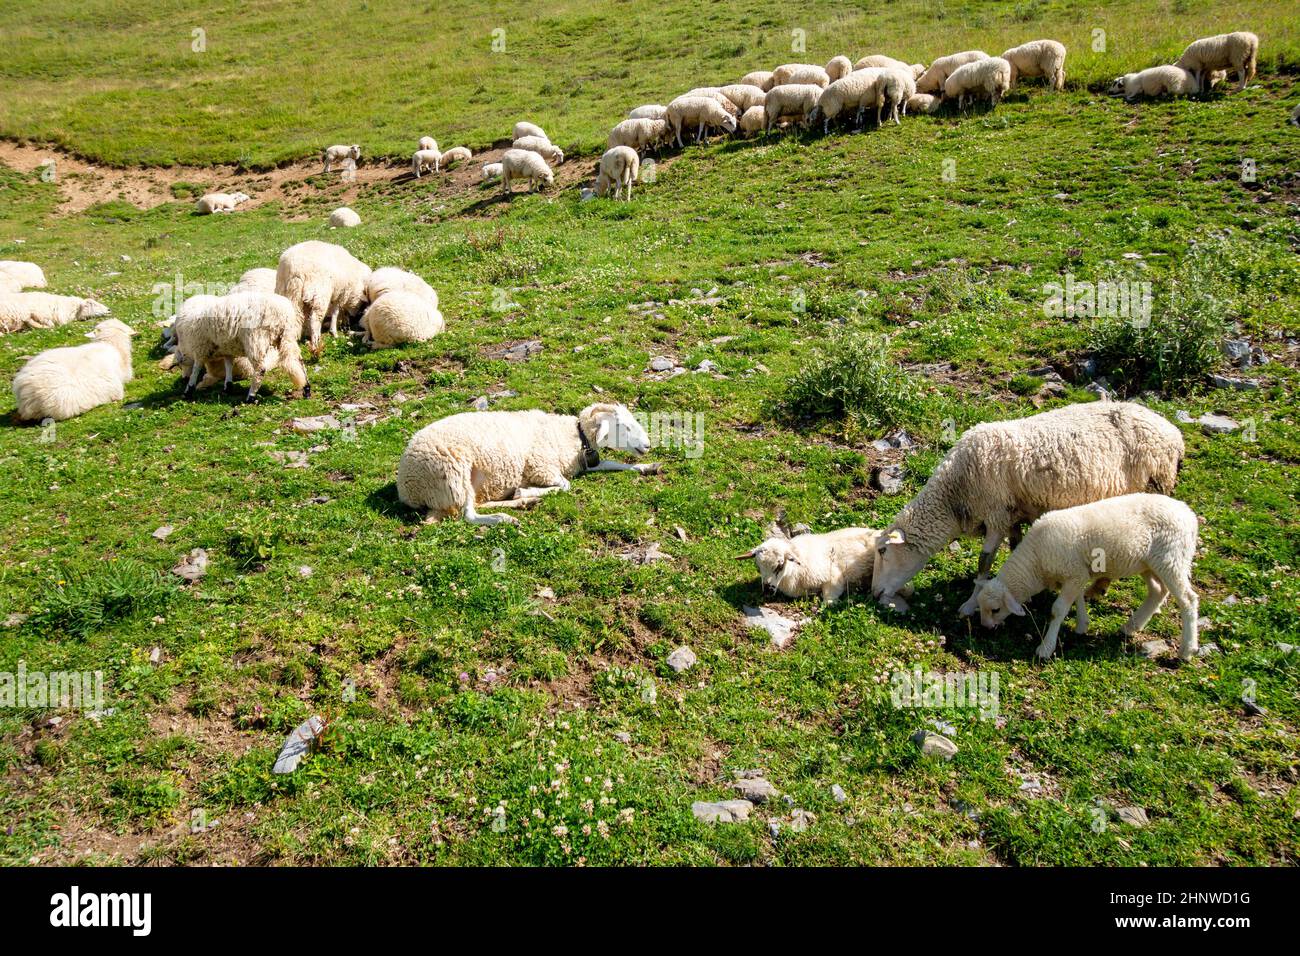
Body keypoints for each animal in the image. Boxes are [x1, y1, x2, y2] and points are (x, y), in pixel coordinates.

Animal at [173, 290, 309, 401]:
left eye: (180, 364)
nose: (183, 378)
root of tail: (283, 313)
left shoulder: (200, 348)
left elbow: (196, 369)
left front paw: (188, 390)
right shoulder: (226, 348)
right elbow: (228, 365)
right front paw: (228, 387)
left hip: (255, 340)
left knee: (260, 369)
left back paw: (250, 397)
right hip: (287, 336)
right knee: (299, 361)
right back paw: (307, 389)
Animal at [396, 403, 656, 525]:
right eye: (624, 426)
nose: (647, 445)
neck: (572, 435)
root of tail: (407, 489)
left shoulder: (584, 461)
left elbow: (614, 462)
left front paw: (647, 467)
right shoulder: (542, 467)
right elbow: (565, 486)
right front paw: (527, 490)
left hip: (461, 485)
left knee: (477, 505)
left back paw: (520, 503)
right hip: (453, 474)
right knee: (468, 515)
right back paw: (506, 516)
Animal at [871, 401, 1185, 612]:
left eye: (883, 551)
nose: (874, 594)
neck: (955, 494)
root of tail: (1174, 433)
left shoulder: (996, 514)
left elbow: (983, 563)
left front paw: (970, 605)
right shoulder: (1012, 516)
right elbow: (1014, 549)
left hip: (1151, 486)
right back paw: (1099, 587)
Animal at [960, 494, 1200, 662]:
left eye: (995, 609)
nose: (985, 627)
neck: (1036, 560)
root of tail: (1188, 513)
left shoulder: (1073, 572)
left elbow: (1057, 610)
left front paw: (1046, 648)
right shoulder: (1077, 573)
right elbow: (1077, 599)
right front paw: (1082, 625)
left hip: (1172, 558)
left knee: (1188, 600)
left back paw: (1187, 649)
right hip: (1149, 563)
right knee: (1157, 591)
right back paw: (1131, 626)